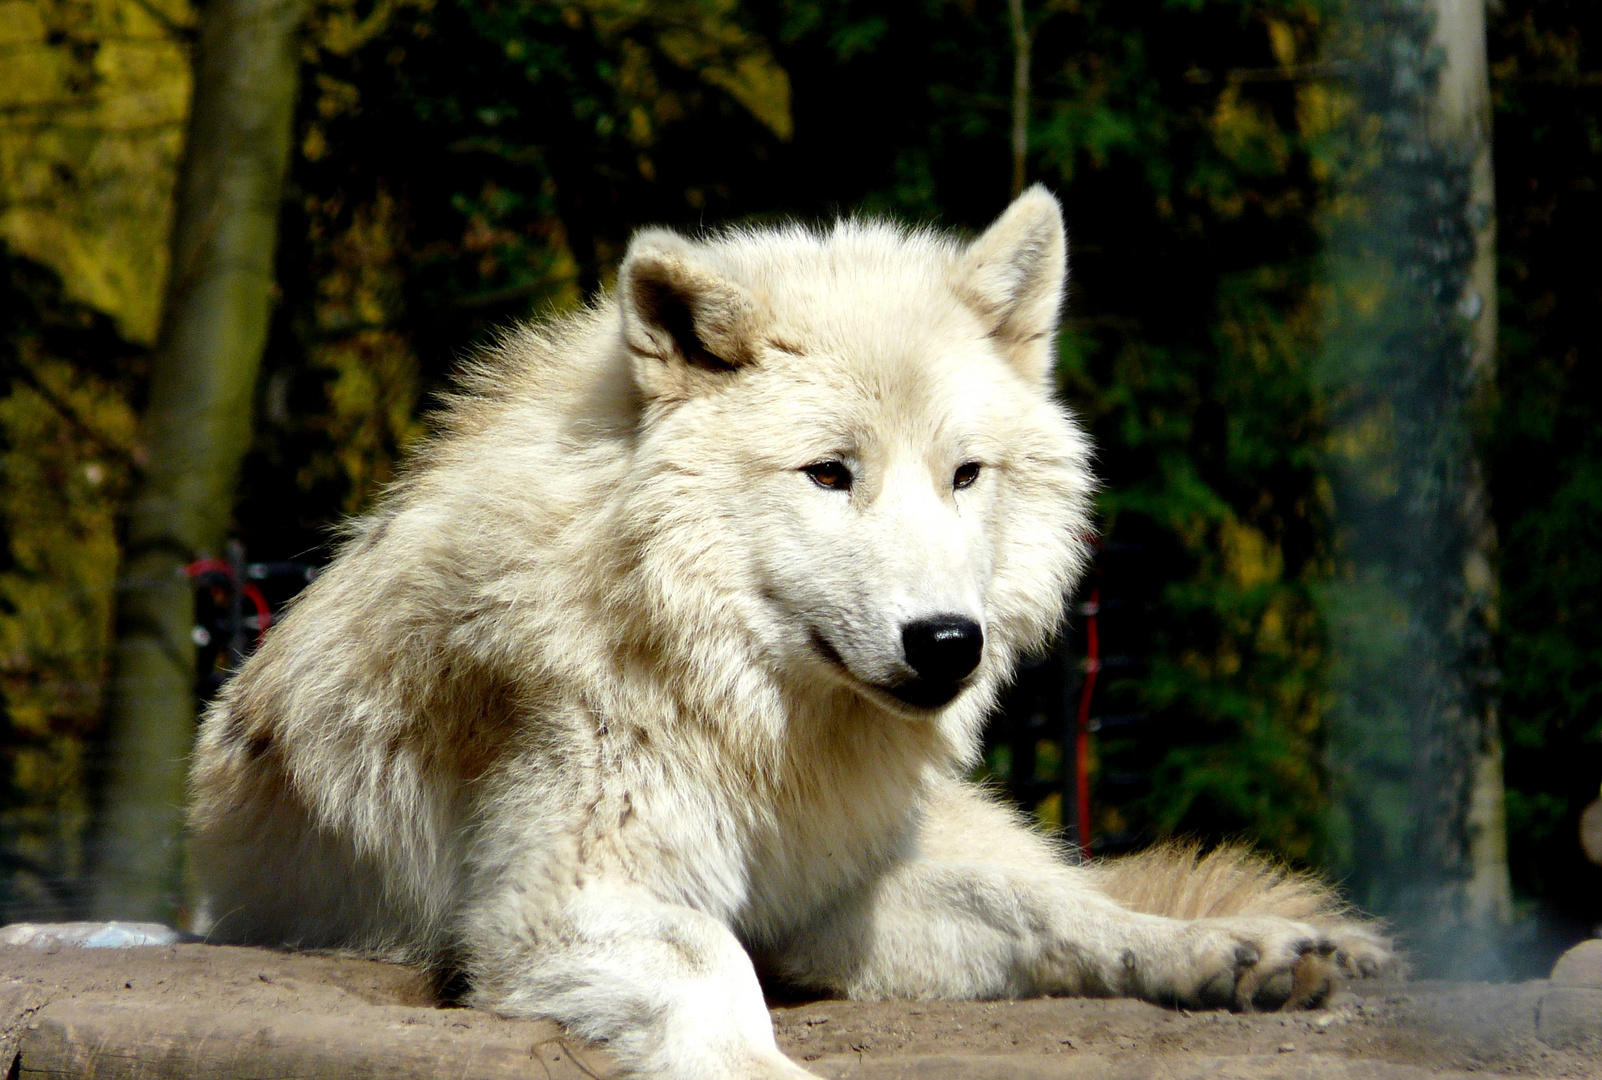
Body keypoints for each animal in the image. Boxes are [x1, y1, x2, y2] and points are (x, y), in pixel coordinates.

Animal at [189, 187, 1392, 1080]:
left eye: (964, 474)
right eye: (829, 473)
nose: (948, 643)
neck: (757, 725)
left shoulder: (826, 901)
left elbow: (1024, 914)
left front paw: (1216, 951)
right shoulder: (565, 900)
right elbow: (713, 962)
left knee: (1071, 893)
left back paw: (1247, 950)